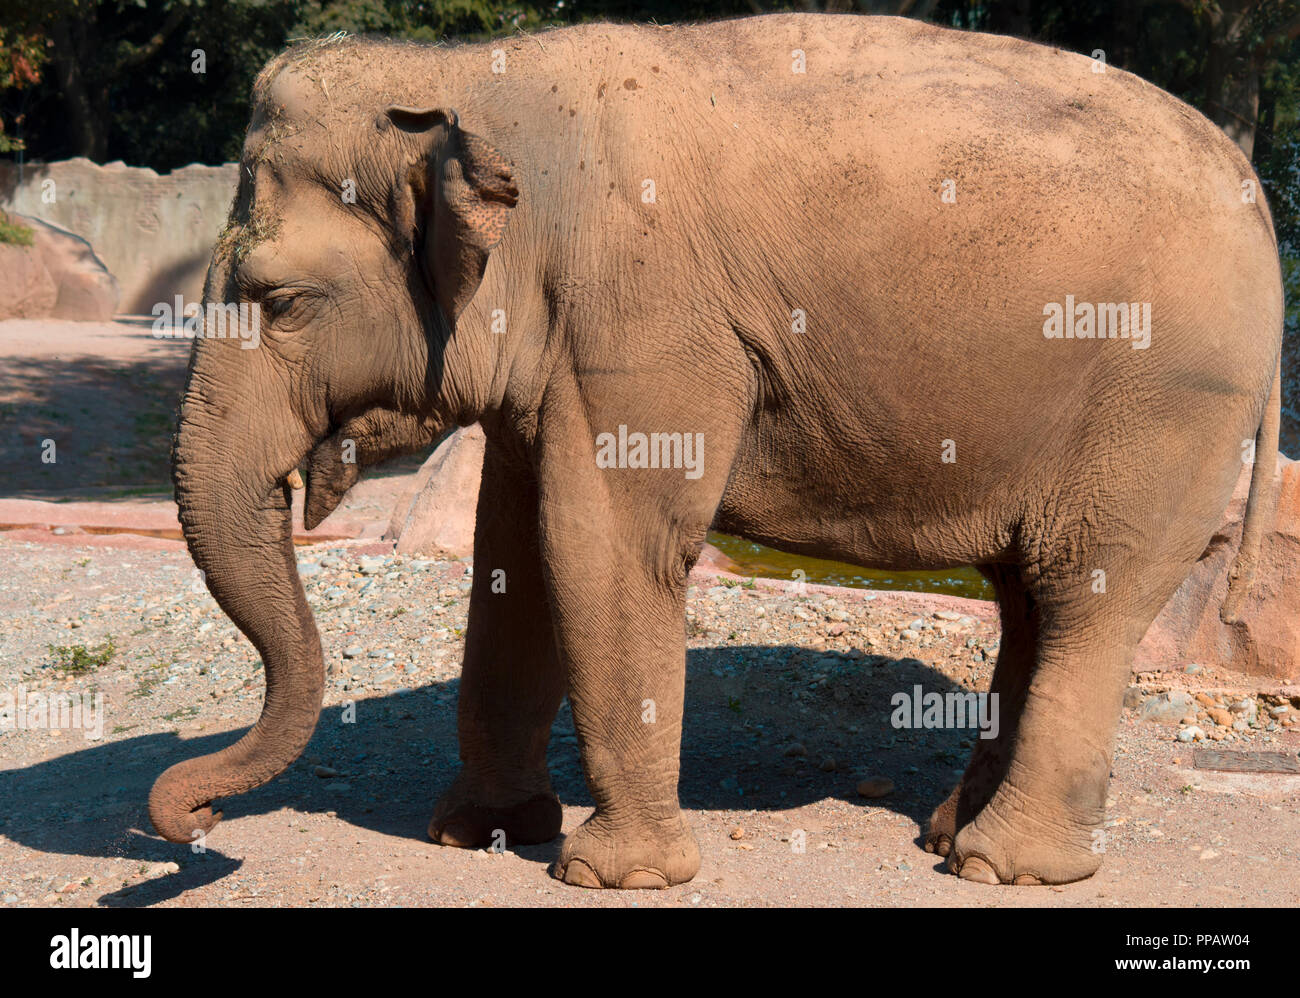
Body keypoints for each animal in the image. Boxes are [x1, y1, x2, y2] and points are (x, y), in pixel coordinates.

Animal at [152, 13, 1284, 890]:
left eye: (280, 302)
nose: (195, 822)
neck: (475, 77)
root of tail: (1258, 196)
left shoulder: (646, 322)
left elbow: (600, 544)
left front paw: (612, 875)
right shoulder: (557, 353)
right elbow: (511, 553)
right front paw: (478, 834)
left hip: (1162, 402)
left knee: (1086, 589)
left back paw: (998, 866)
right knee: (1028, 593)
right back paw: (948, 832)